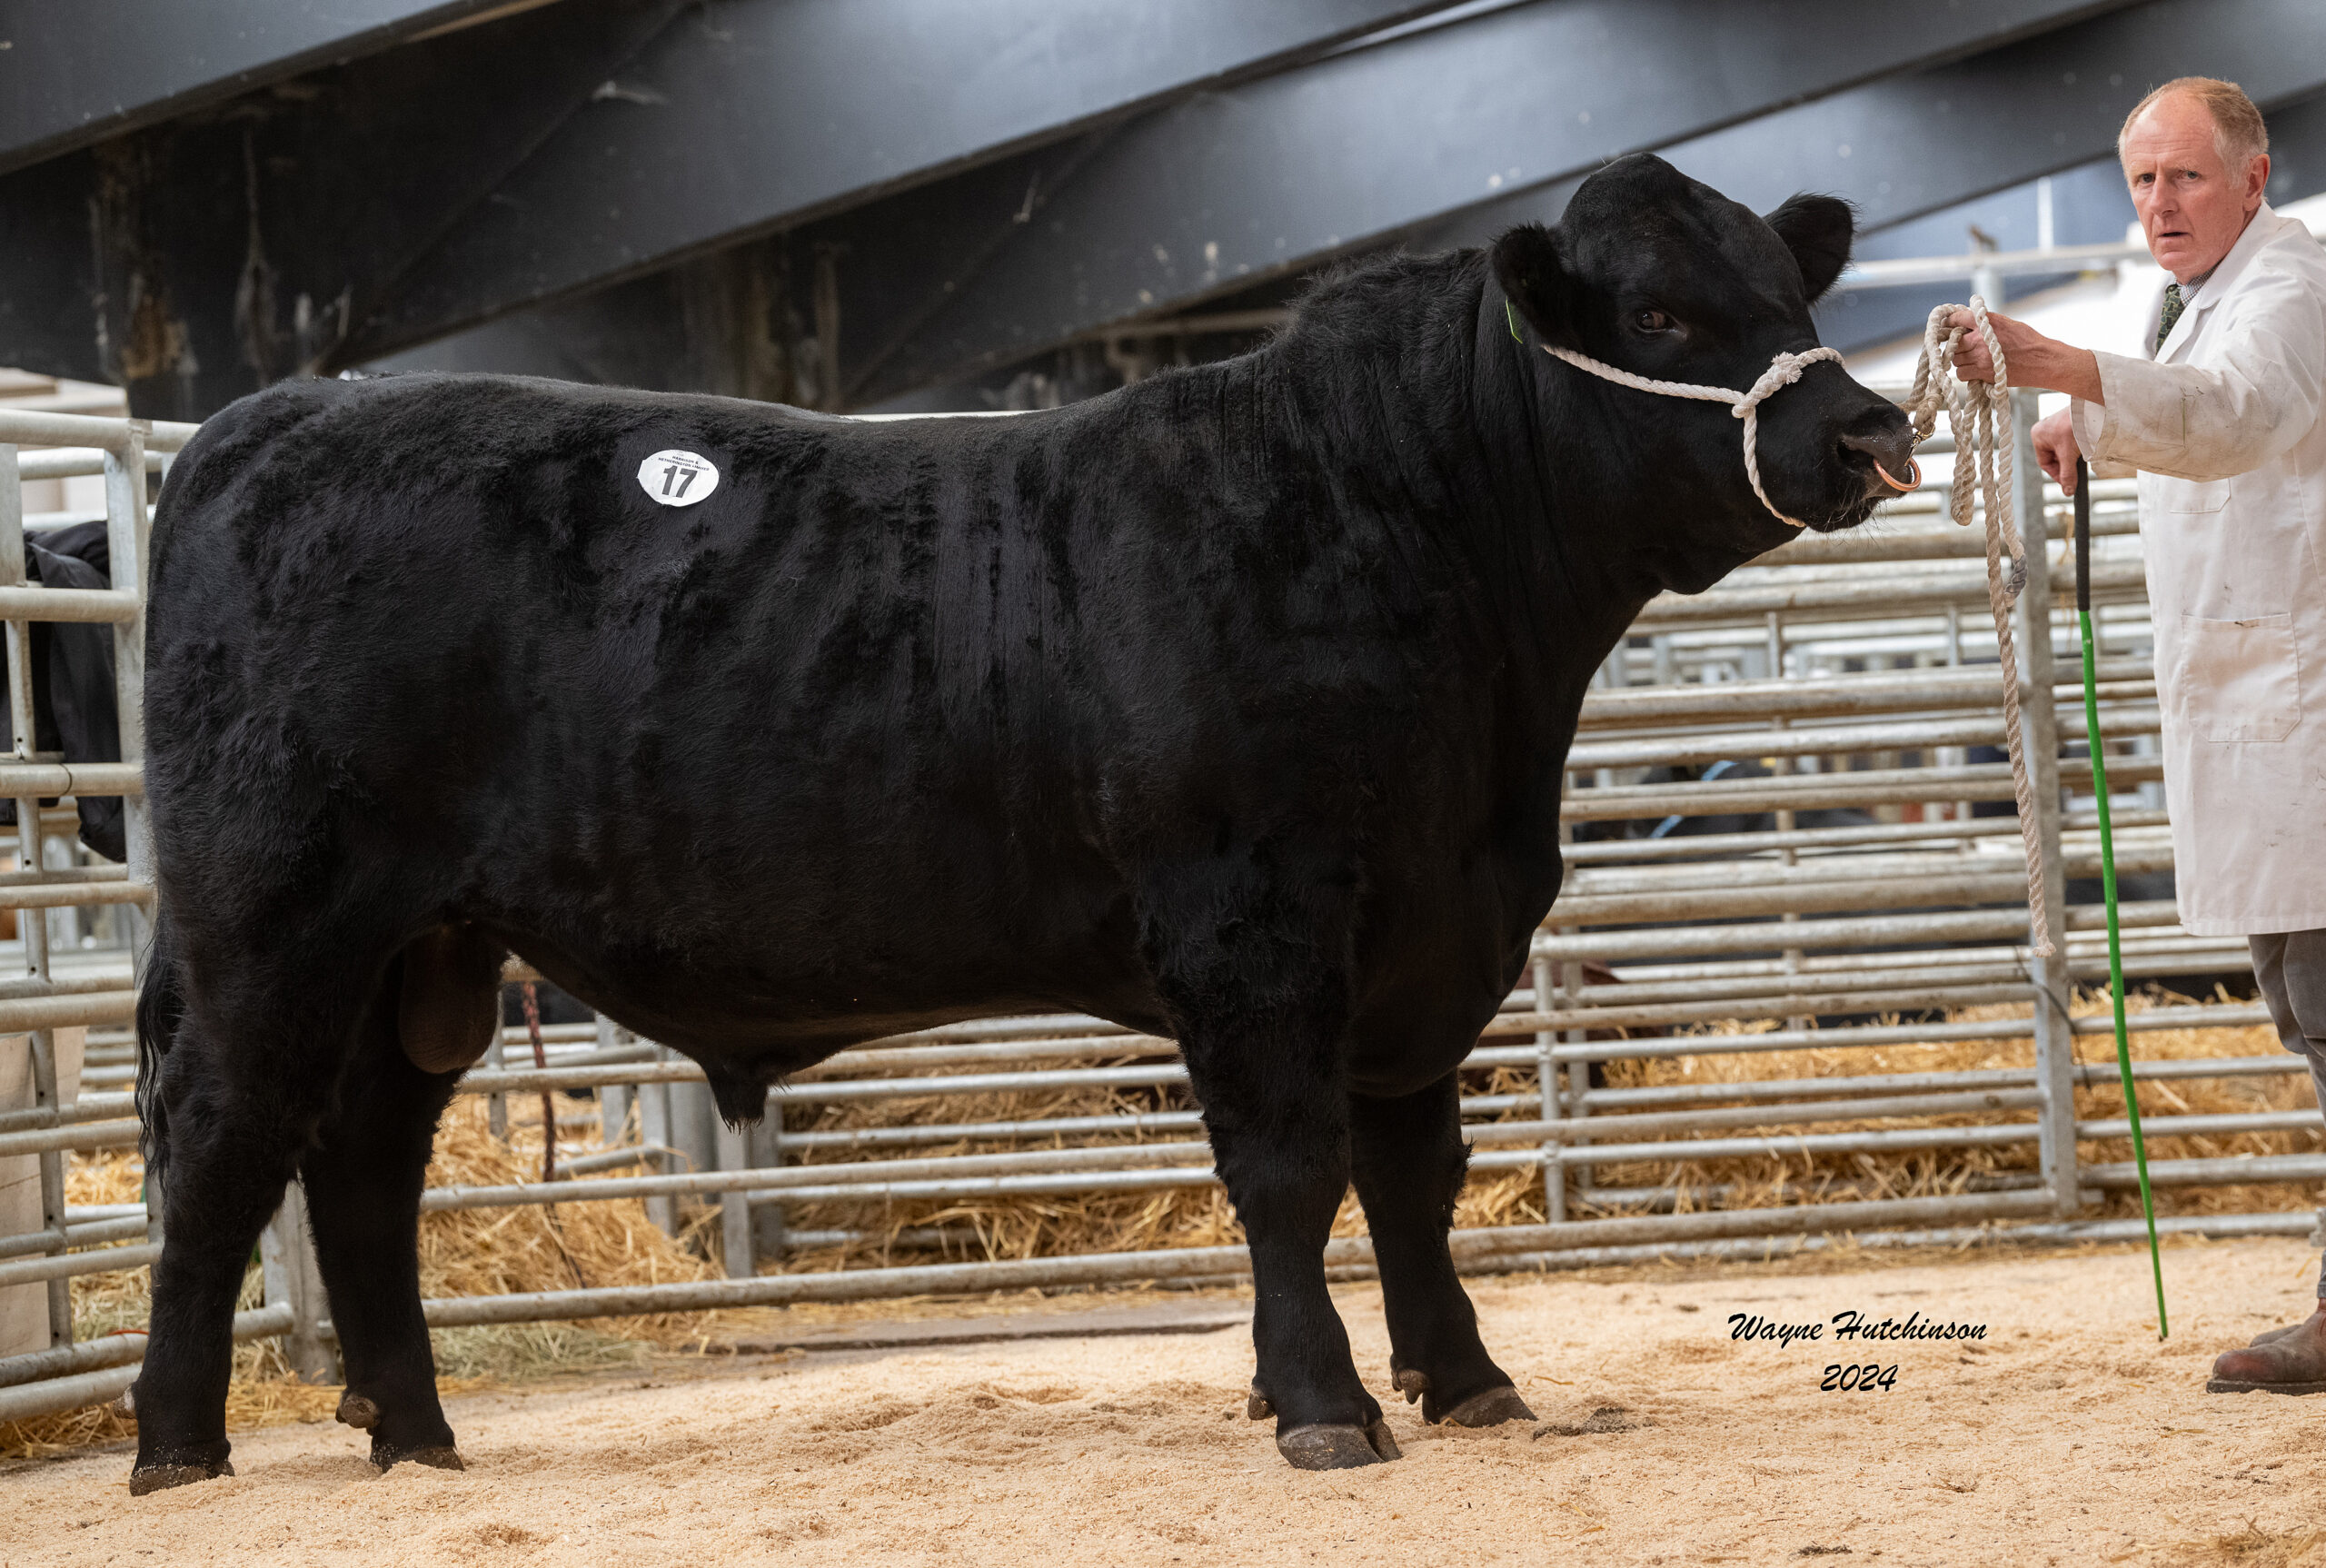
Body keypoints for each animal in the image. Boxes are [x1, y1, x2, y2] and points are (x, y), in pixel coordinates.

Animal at [125, 152, 1913, 1491]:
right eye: (1665, 309)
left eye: (1796, 293)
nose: (1867, 427)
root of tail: (274, 417)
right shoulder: (1253, 914)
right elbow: (1291, 1166)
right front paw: (1325, 1406)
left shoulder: (1424, 935)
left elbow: (1414, 1172)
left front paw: (1468, 1379)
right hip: (274, 916)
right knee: (221, 1141)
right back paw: (178, 1445)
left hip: (420, 947)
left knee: (361, 1160)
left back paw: (415, 1433)